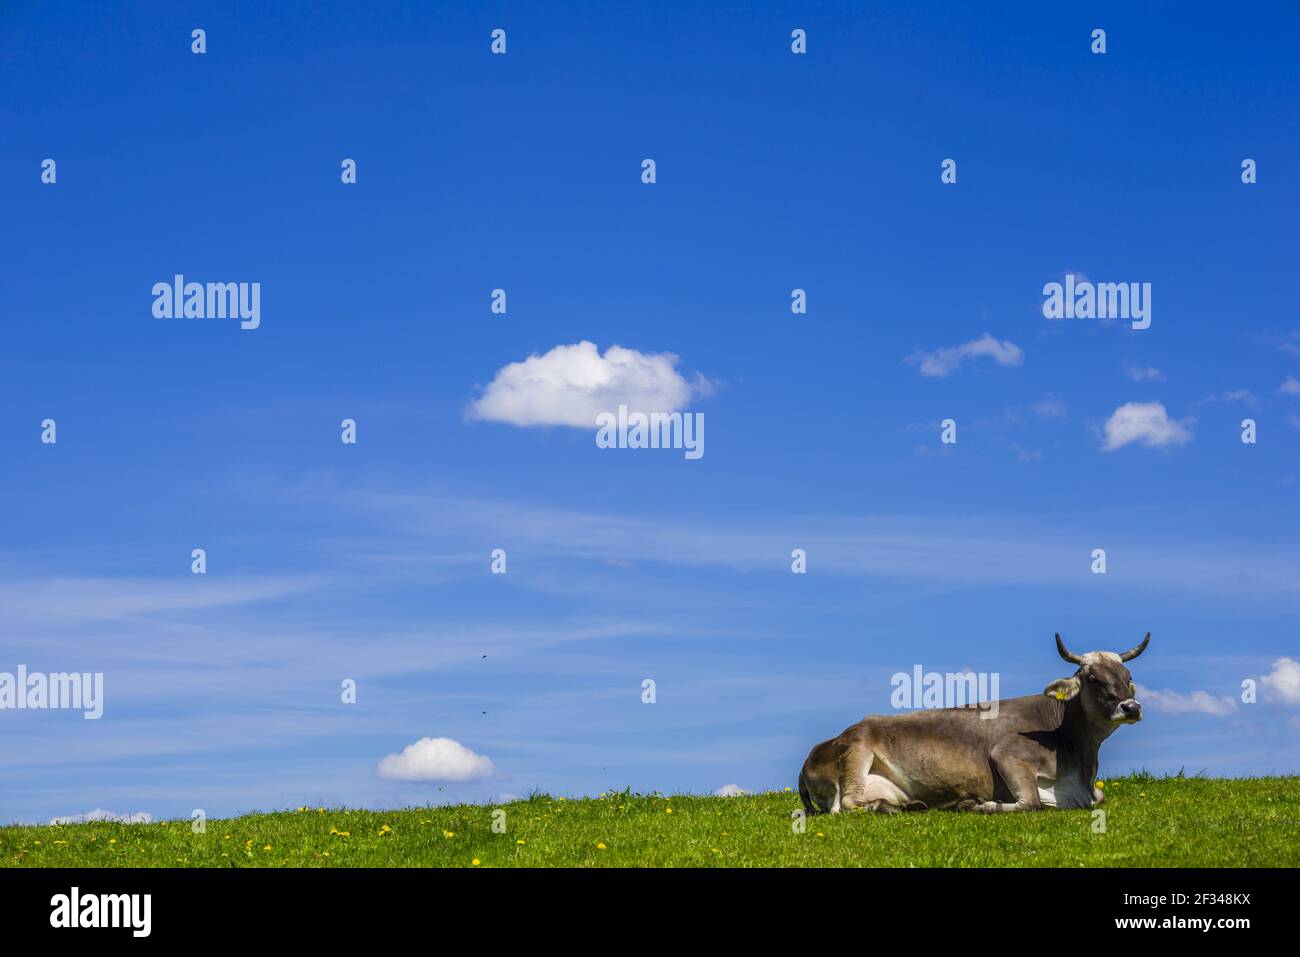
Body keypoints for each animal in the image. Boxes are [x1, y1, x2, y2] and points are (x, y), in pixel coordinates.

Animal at [797, 632, 1149, 814]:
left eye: (1128, 677)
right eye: (1093, 678)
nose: (1131, 707)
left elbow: (1098, 797)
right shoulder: (1008, 754)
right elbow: (1031, 802)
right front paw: (982, 805)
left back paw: (911, 804)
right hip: (857, 749)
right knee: (848, 803)